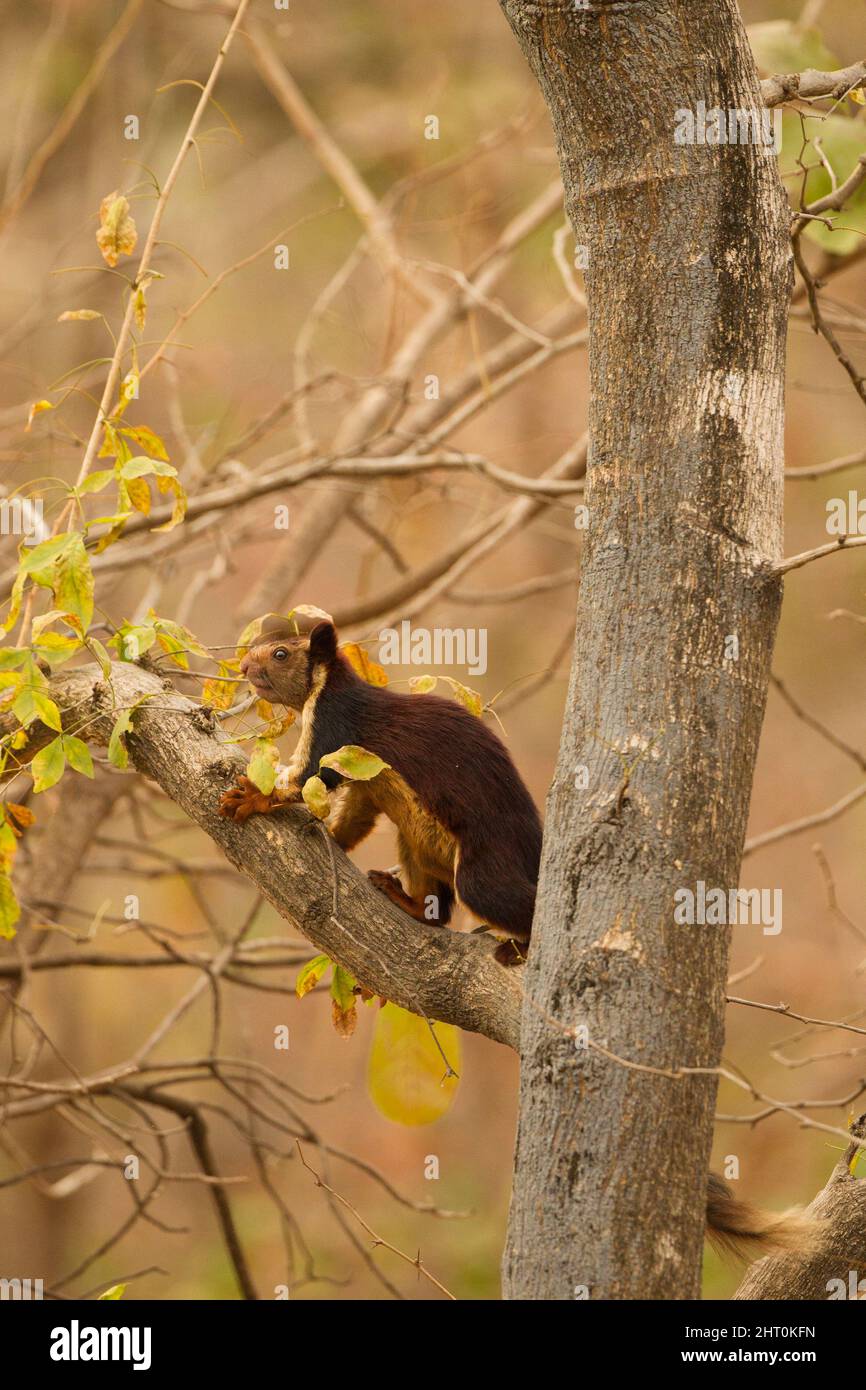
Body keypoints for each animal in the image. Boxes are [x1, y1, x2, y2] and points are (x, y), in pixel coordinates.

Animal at [218, 614, 542, 965]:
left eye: (281, 653)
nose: (244, 666)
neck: (328, 688)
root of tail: (534, 845)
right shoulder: (364, 781)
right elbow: (356, 815)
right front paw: (333, 836)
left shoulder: (333, 729)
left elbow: (306, 779)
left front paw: (252, 798)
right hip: (417, 843)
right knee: (436, 912)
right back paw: (402, 896)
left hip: (482, 869)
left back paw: (521, 947)